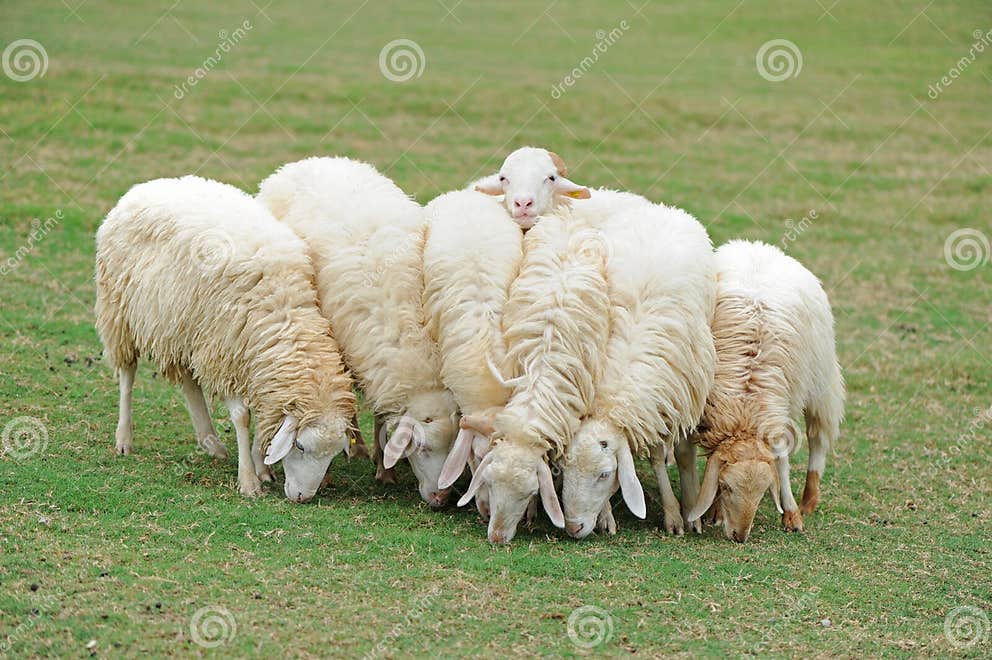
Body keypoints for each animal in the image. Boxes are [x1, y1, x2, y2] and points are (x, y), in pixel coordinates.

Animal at [95, 176, 357, 502]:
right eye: (300, 446)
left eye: (332, 455)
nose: (303, 498)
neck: (282, 304)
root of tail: (144, 187)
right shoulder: (224, 350)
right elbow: (243, 416)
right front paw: (249, 479)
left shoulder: (244, 357)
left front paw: (262, 465)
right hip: (120, 311)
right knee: (127, 374)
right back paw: (124, 438)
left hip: (182, 326)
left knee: (189, 381)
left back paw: (211, 441)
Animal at [560, 195, 717, 539]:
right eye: (562, 470)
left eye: (605, 474)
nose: (573, 527)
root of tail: (663, 209)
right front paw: (606, 517)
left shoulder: (683, 396)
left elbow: (679, 455)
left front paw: (685, 512)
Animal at [684, 240, 845, 542]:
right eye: (726, 487)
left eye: (761, 494)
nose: (740, 536)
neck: (746, 404)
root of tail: (762, 247)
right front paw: (715, 511)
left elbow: (782, 461)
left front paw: (791, 514)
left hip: (821, 380)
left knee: (818, 437)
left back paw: (809, 500)